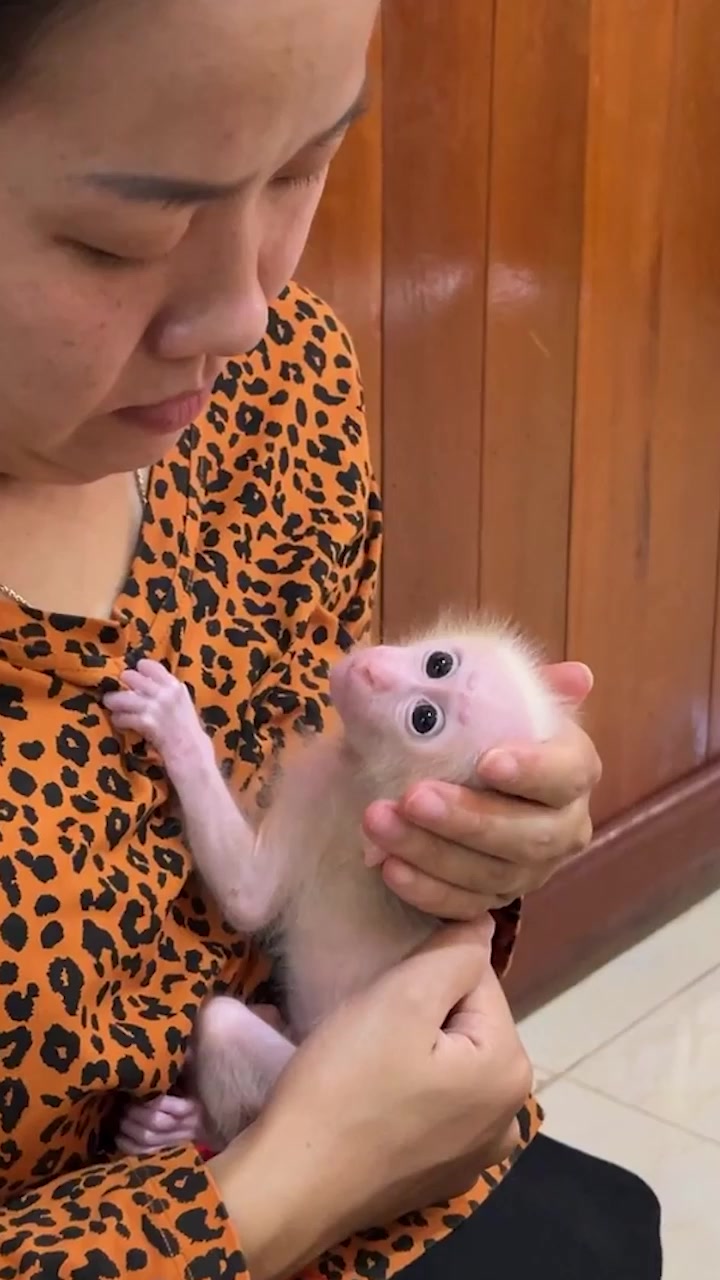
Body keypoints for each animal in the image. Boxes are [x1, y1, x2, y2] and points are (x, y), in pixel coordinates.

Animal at [102, 614, 572, 1155]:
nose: (369, 670)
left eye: (424, 719)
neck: (367, 773)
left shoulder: (331, 794)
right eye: (438, 663)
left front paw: (174, 725)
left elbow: (248, 898)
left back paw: (185, 1128)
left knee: (224, 1031)